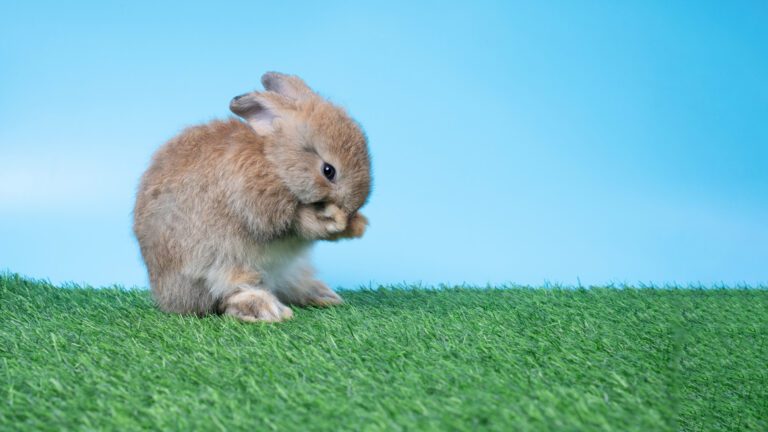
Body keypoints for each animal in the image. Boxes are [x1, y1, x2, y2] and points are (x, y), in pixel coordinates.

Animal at [133, 72, 371, 322]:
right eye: (328, 170)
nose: (352, 208)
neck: (276, 163)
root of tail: (166, 297)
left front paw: (358, 225)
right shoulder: (261, 208)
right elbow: (299, 223)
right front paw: (331, 221)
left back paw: (323, 296)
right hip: (221, 270)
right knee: (229, 297)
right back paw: (267, 310)